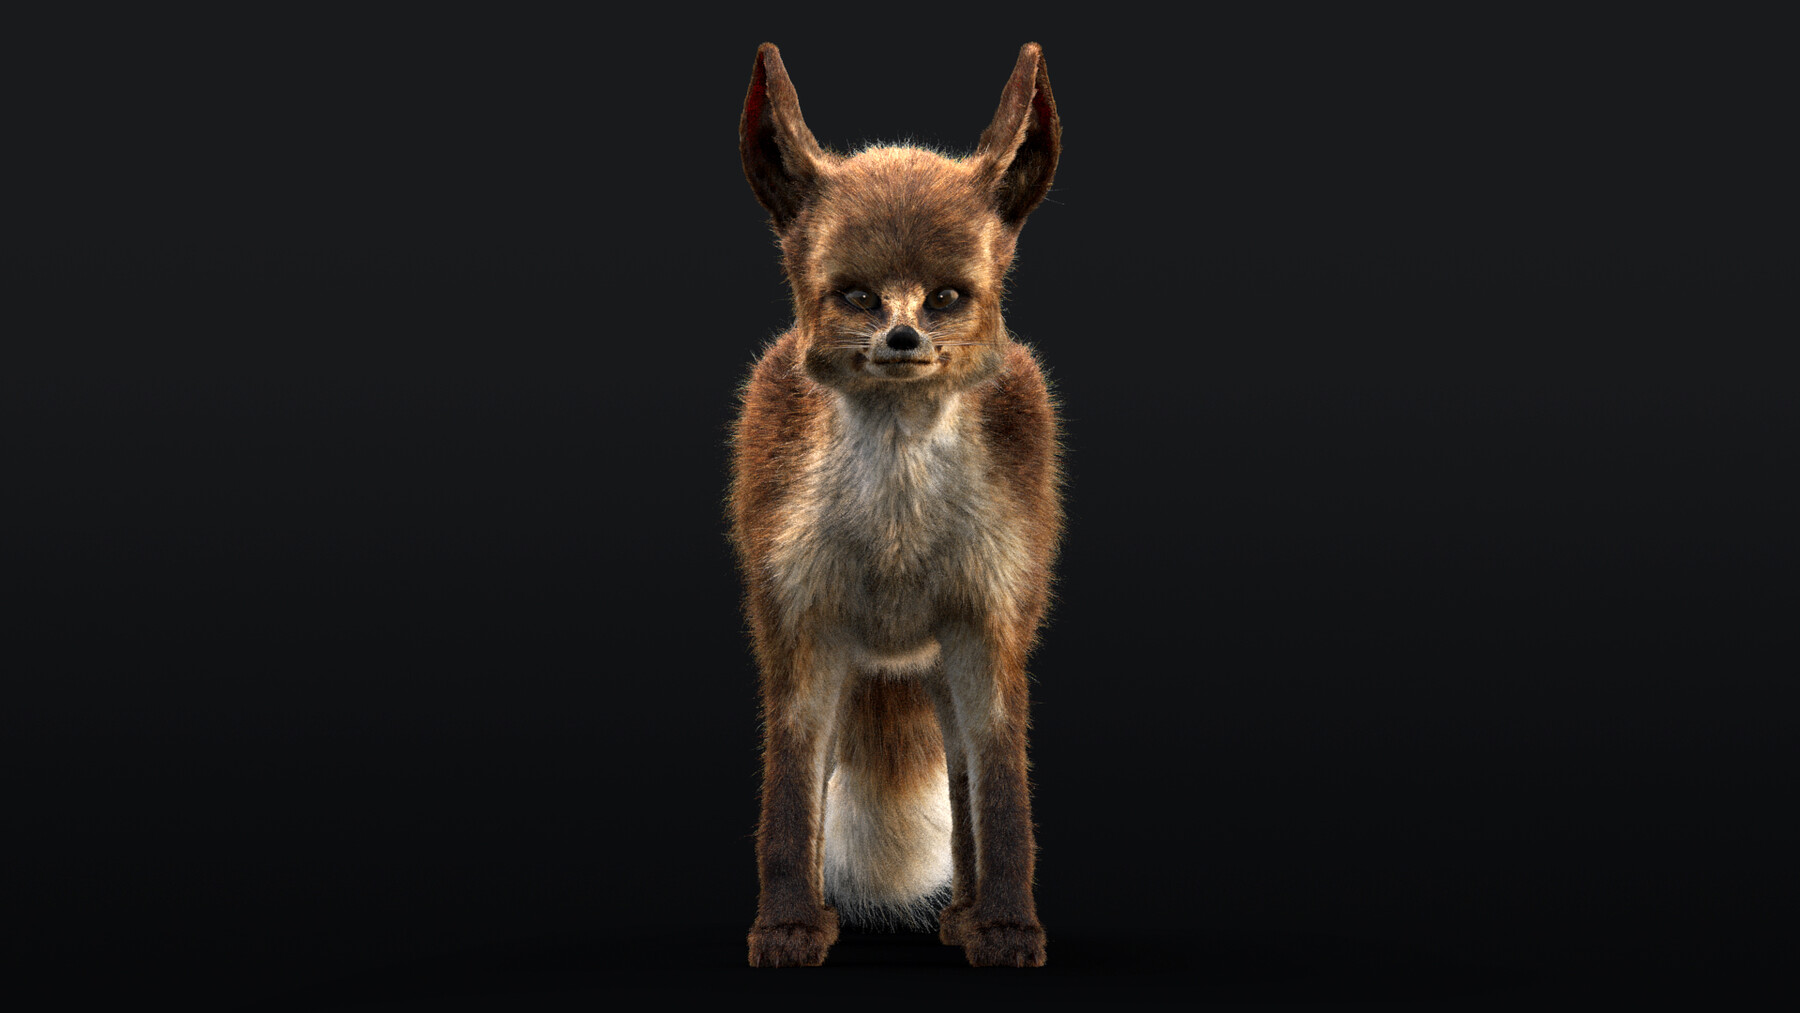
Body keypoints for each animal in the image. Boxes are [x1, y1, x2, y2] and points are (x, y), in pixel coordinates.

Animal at [728, 42, 1063, 968]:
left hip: (941, 669)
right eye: (858, 296)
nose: (902, 339)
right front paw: (789, 928)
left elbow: (1001, 792)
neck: (897, 536)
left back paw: (969, 914)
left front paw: (1009, 928)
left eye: (945, 297)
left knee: (961, 774)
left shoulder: (991, 627)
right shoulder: (800, 626)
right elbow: (789, 790)